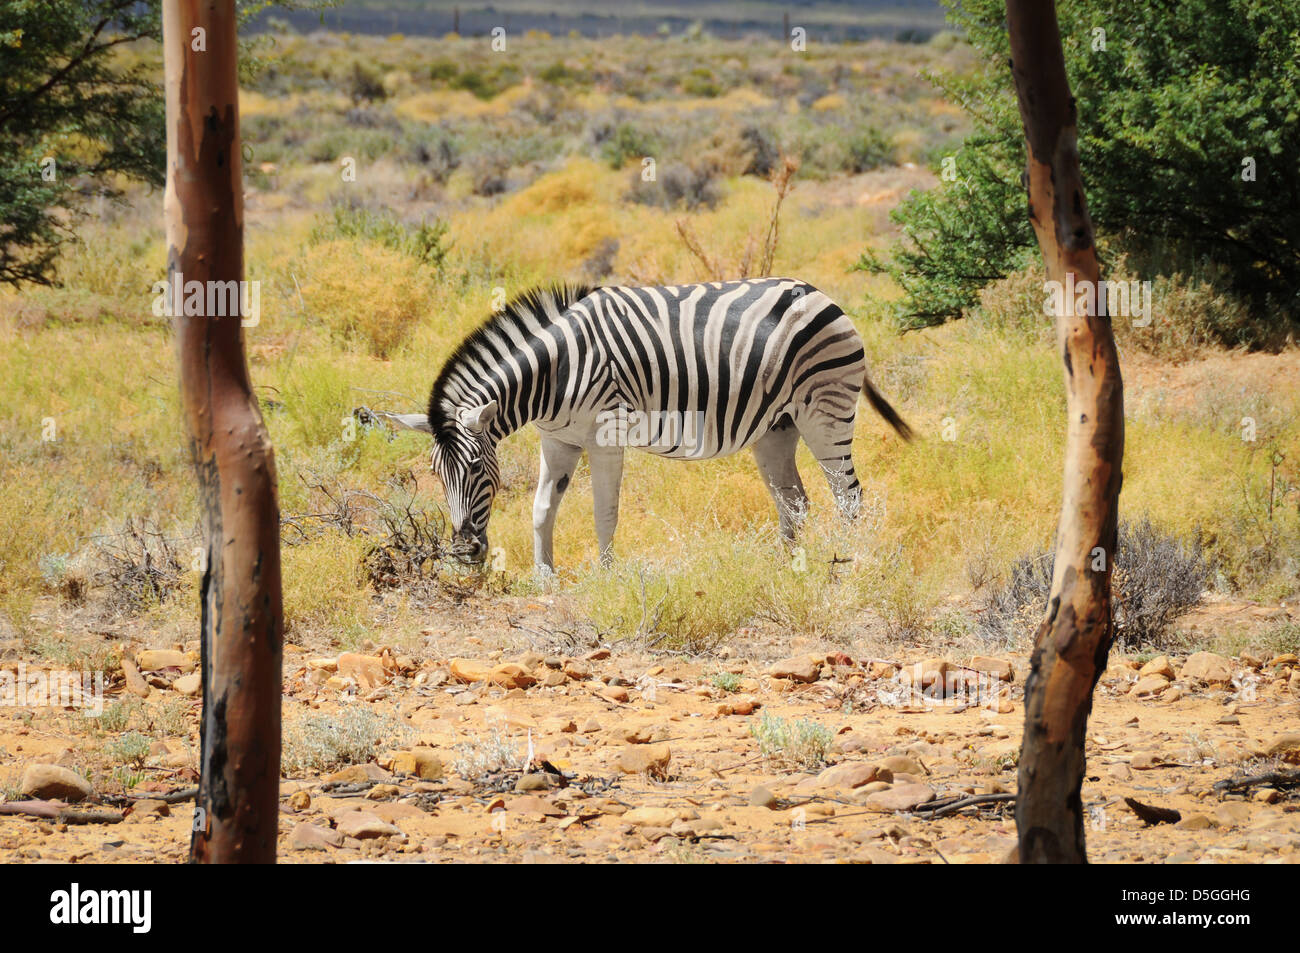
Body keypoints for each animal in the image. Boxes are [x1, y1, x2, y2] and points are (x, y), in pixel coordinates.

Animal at [388, 278, 912, 572]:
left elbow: (604, 513)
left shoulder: (604, 436)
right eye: (436, 476)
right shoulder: (557, 439)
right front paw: (544, 578)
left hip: (826, 409)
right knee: (797, 502)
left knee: (848, 496)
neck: (554, 371)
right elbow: (541, 510)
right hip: (777, 428)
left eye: (479, 470)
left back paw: (846, 565)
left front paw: (606, 578)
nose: (464, 553)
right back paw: (788, 569)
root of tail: (820, 294)